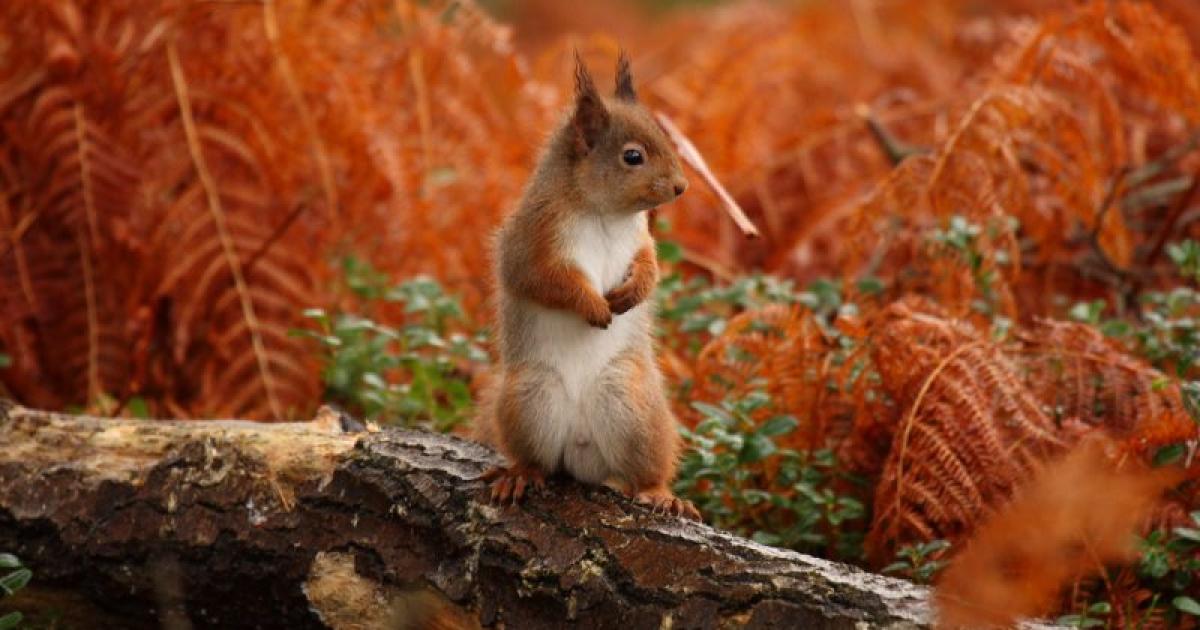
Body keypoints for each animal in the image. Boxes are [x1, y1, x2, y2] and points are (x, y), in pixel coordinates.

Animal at [474, 51, 699, 520]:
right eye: (632, 156)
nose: (681, 187)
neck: (605, 213)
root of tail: (581, 452)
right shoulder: (533, 241)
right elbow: (547, 280)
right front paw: (593, 306)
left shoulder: (641, 238)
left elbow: (650, 265)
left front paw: (635, 291)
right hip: (530, 397)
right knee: (538, 461)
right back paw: (521, 474)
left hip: (634, 404)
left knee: (645, 471)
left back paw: (660, 493)